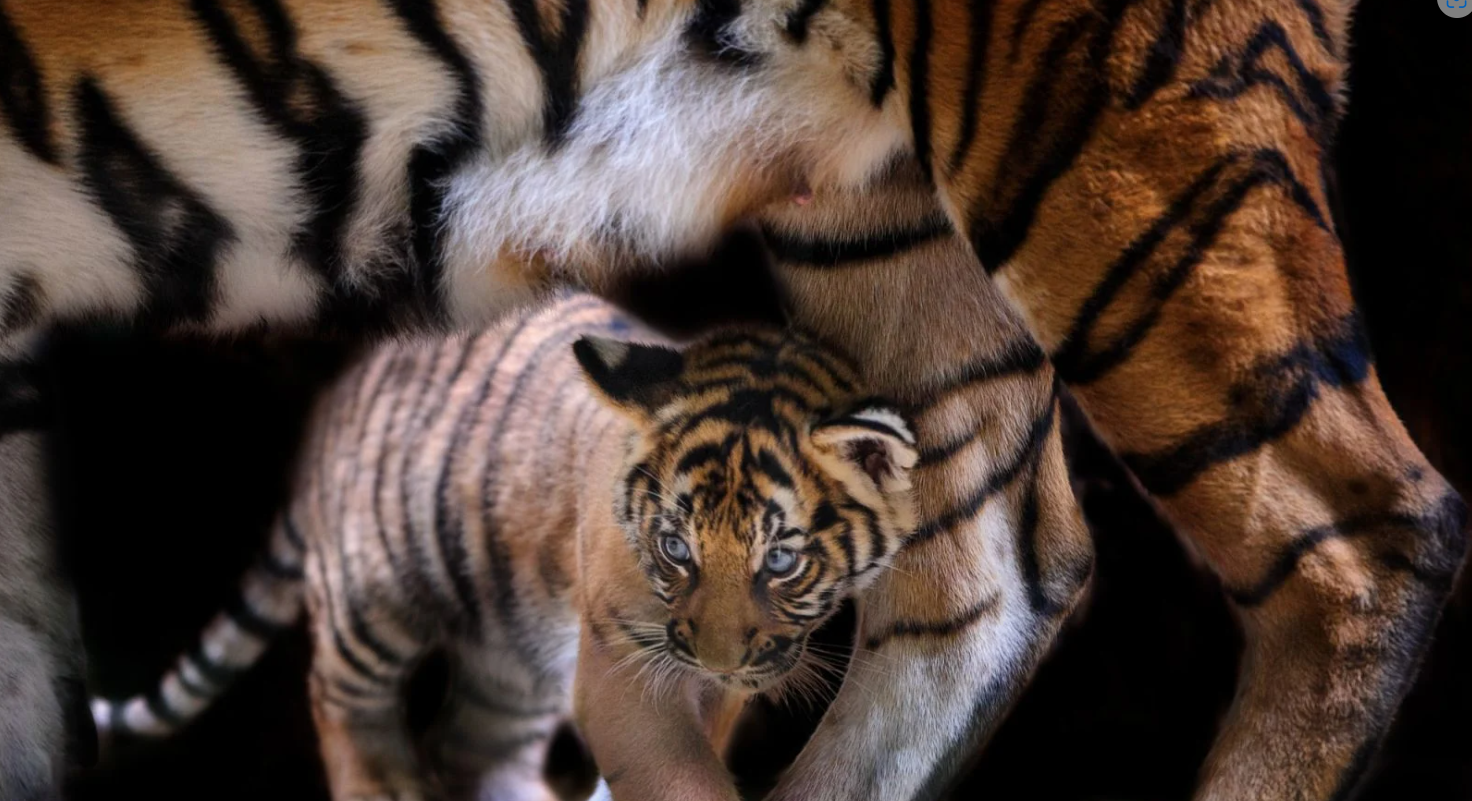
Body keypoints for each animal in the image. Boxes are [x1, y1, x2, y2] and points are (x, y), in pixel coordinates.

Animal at [87, 293, 924, 801]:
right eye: (675, 547)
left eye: (780, 559)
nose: (714, 659)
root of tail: (335, 405)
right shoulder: (627, 659)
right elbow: (676, 772)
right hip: (375, 591)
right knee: (338, 692)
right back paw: (381, 785)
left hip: (513, 654)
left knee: (470, 743)